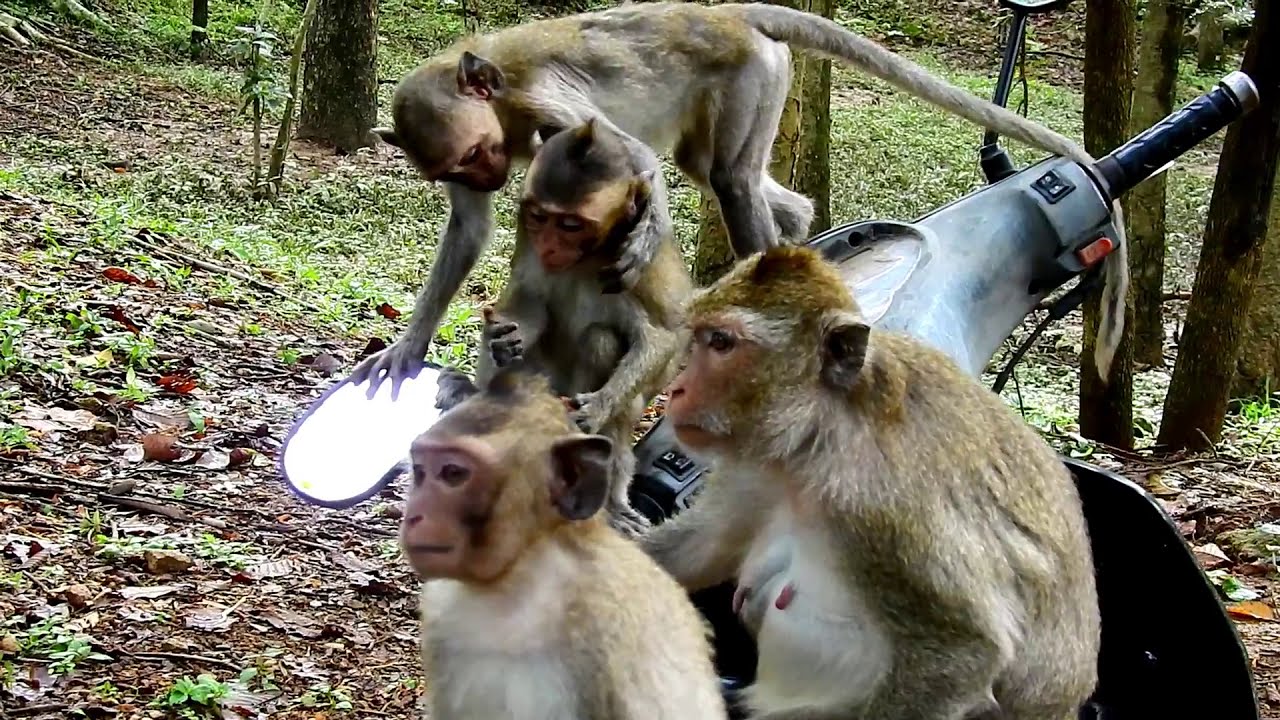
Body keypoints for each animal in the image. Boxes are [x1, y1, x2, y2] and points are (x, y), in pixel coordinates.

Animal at [349, 1, 1129, 402]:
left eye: (478, 153)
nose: (486, 172)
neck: (499, 103)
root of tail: (725, 12)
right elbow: (469, 228)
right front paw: (409, 344)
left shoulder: (542, 99)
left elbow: (631, 159)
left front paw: (641, 240)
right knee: (717, 170)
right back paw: (802, 227)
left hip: (753, 72)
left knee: (726, 176)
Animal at [399, 363, 729, 720]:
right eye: (420, 472)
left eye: (453, 473)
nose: (413, 516)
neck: (517, 587)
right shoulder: (440, 611)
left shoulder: (614, 622)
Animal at [638, 245, 1101, 720]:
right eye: (700, 338)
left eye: (722, 343)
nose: (677, 389)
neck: (817, 442)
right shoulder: (757, 465)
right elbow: (702, 546)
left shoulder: (887, 509)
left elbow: (963, 651)